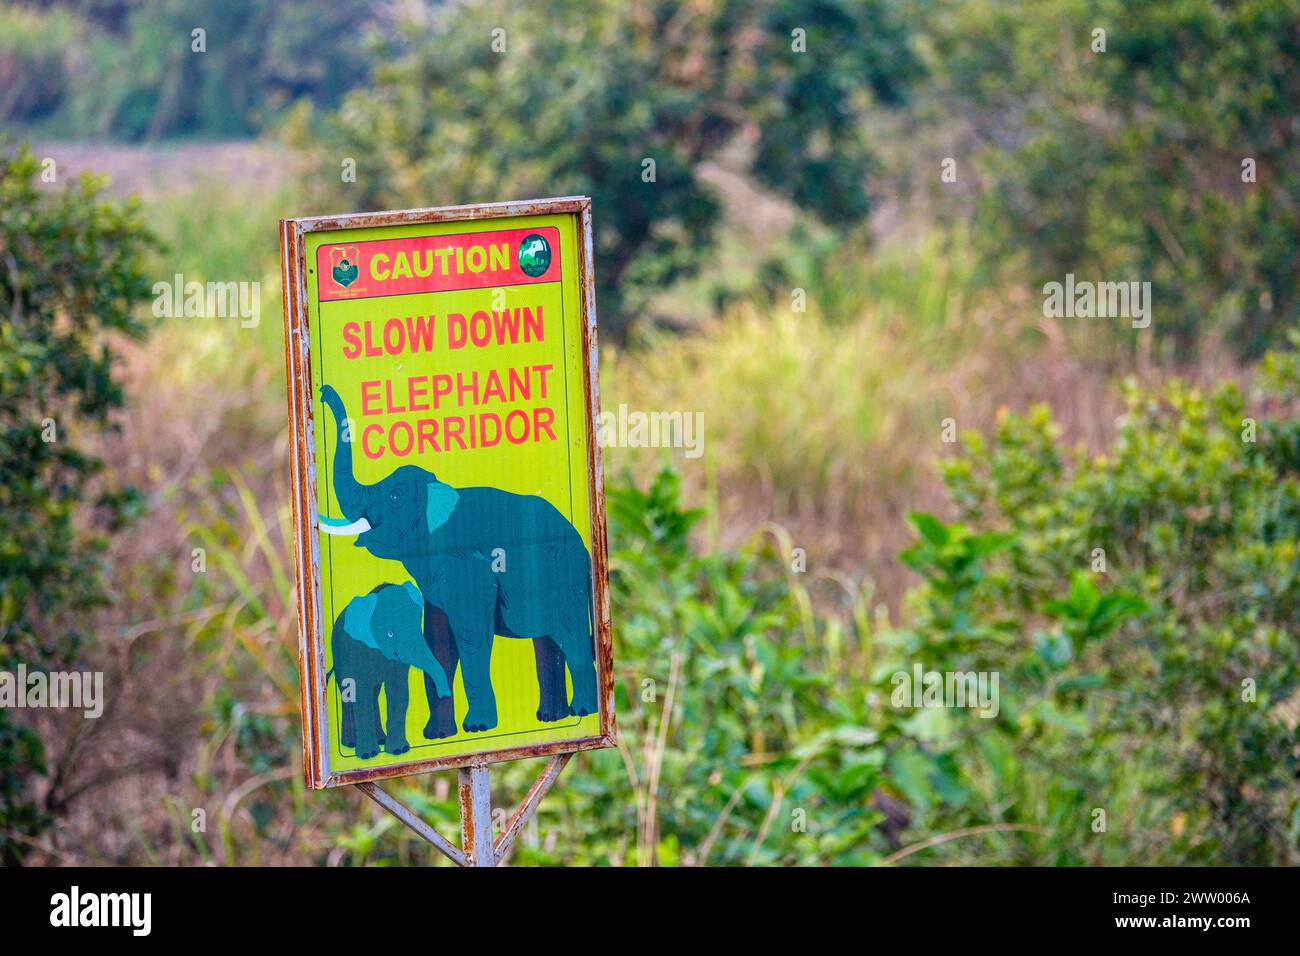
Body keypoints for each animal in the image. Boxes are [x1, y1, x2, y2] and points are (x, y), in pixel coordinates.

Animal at [318, 383, 597, 735]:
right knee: (547, 638)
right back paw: (551, 718)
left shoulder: (465, 567)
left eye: (395, 497)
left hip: (565, 578)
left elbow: (470, 635)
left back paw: (583, 710)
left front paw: (477, 729)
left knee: (568, 634)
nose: (322, 391)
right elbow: (438, 639)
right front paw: (438, 735)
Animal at [329, 581, 451, 759]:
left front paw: (399, 751)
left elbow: (398, 692)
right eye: (390, 633)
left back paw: (380, 739)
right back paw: (351, 743)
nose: (444, 694)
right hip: (338, 656)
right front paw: (368, 755)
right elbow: (360, 693)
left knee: (374, 692)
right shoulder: (357, 650)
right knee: (348, 691)